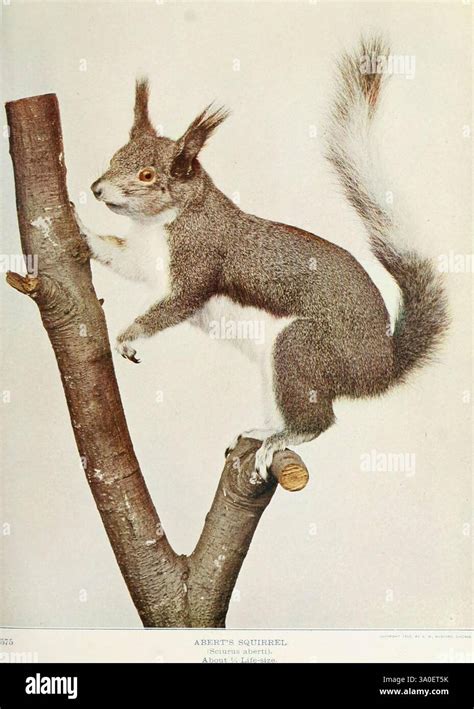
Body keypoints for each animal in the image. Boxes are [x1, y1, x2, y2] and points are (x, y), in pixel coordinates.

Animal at [75, 36, 448, 481]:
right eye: (115, 157)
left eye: (147, 175)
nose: (97, 188)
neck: (161, 223)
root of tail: (380, 368)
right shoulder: (141, 257)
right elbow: (120, 258)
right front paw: (75, 227)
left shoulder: (199, 260)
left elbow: (176, 303)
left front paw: (127, 336)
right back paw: (264, 430)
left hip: (302, 350)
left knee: (319, 421)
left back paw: (281, 439)